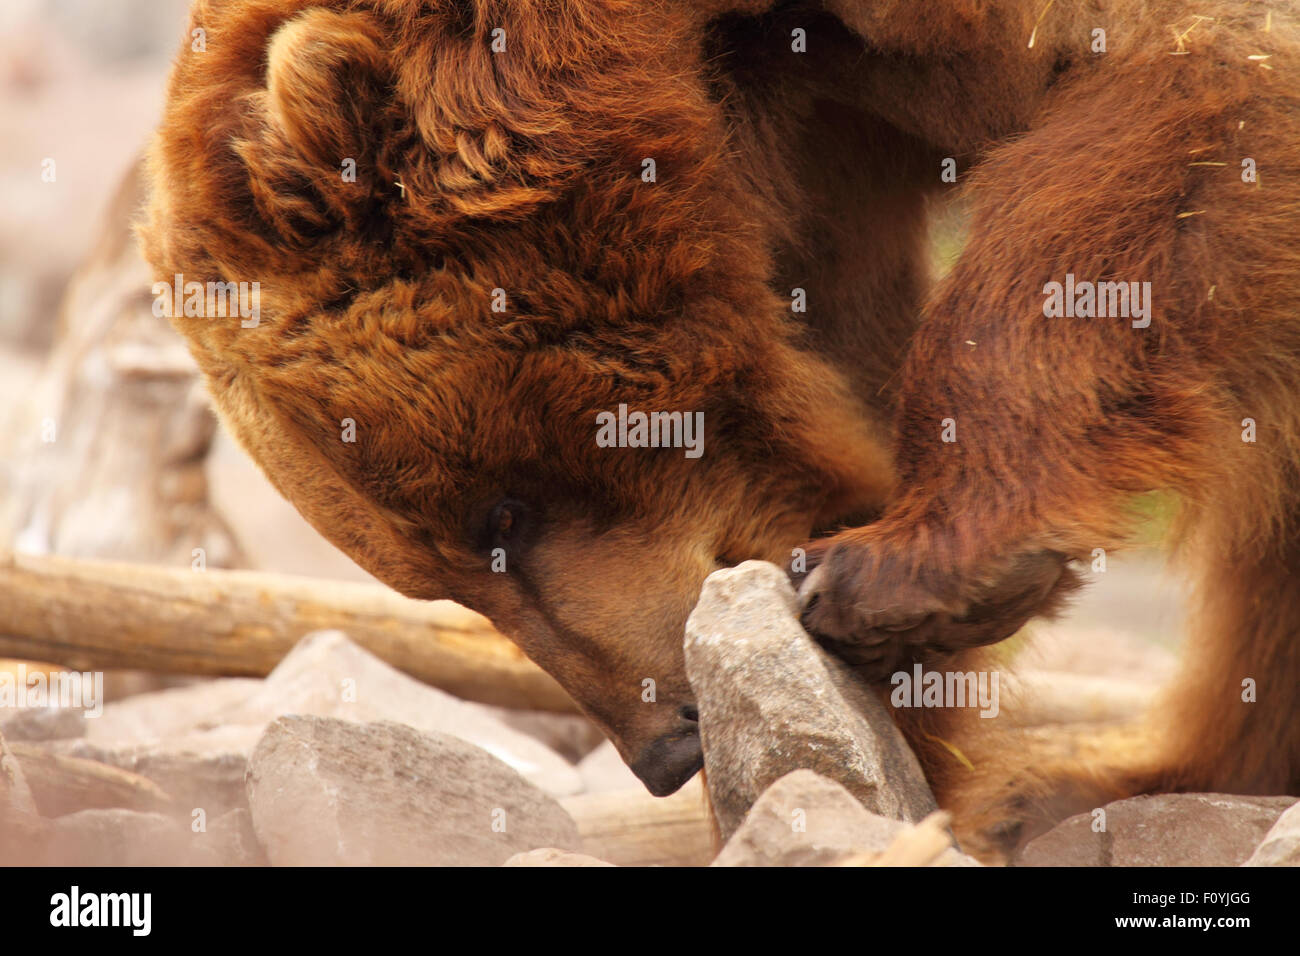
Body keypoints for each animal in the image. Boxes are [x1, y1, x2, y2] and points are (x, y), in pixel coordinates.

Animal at [140, 0, 1300, 855]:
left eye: (498, 516)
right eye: (440, 579)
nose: (664, 745)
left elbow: (1192, 88)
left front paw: (903, 567)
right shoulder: (820, 125)